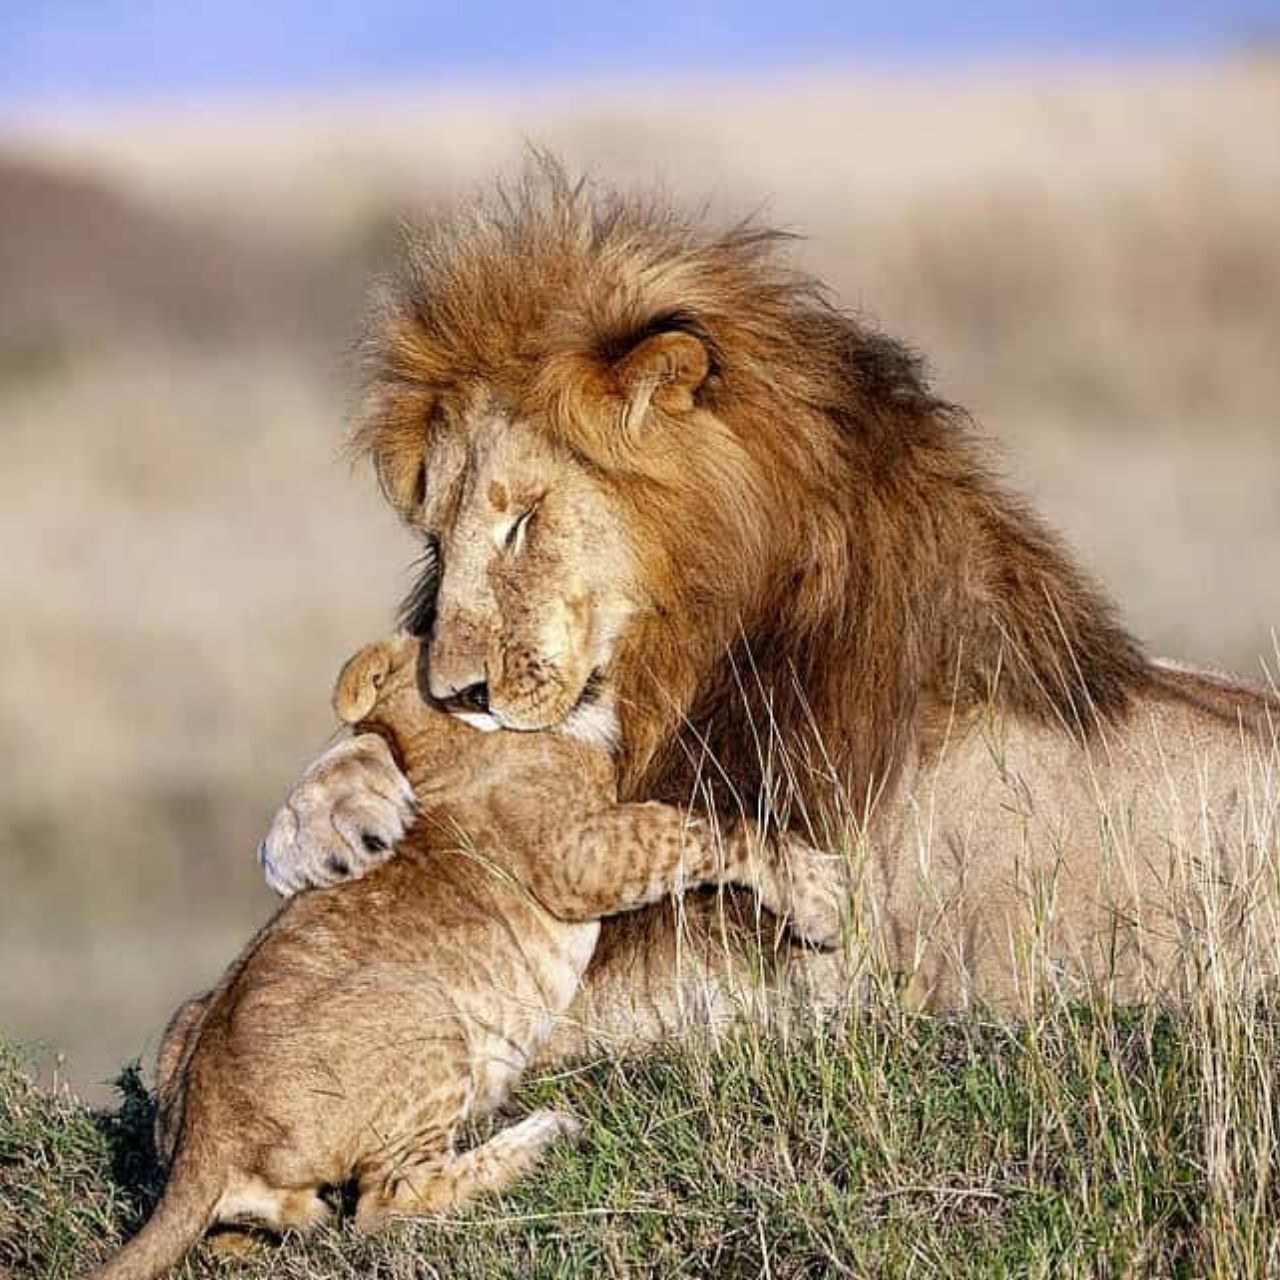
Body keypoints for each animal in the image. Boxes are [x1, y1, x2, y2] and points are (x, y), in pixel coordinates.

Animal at [92, 634, 843, 1280]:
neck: (447, 740)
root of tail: (206, 1136)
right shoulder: (580, 858)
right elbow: (713, 828)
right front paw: (819, 898)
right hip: (424, 1013)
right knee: (389, 1204)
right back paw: (543, 1136)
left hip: (190, 1025)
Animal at [259, 162, 1280, 1050]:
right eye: (436, 542)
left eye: (521, 523)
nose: (459, 692)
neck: (688, 662)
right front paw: (322, 822)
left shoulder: (798, 973)